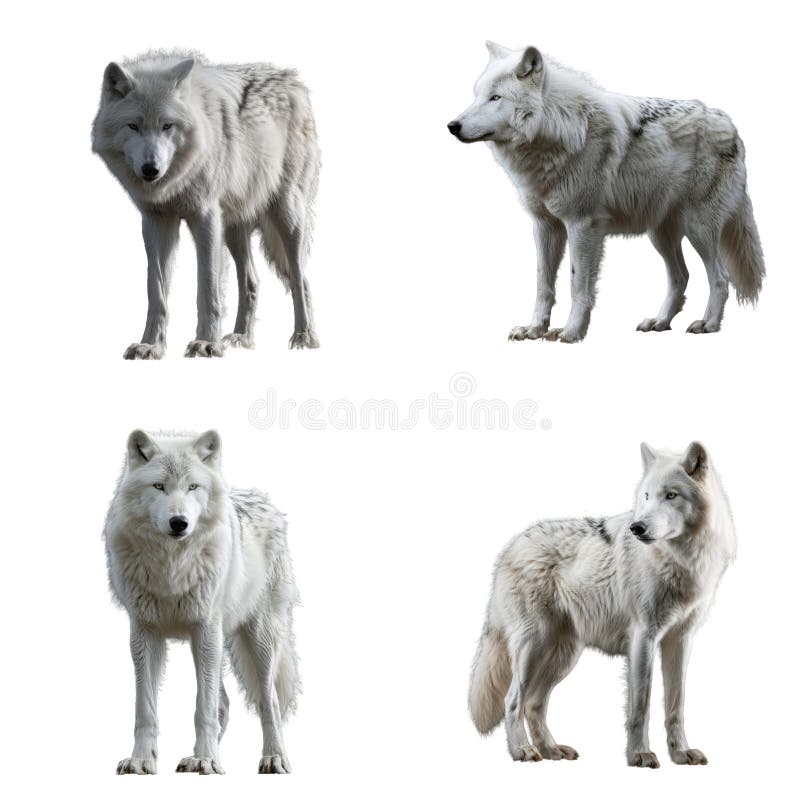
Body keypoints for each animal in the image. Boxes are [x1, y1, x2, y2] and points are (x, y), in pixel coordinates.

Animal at [92, 51, 321, 358]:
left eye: (167, 125)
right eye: (133, 126)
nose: (151, 169)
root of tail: (292, 80)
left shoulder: (205, 217)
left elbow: (208, 287)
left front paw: (206, 343)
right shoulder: (157, 222)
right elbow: (156, 290)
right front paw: (151, 345)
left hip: (287, 215)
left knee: (301, 279)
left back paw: (304, 336)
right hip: (234, 229)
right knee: (252, 281)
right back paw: (240, 337)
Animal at [104, 429, 299, 774]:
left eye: (193, 487)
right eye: (159, 486)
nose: (179, 522)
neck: (171, 564)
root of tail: (261, 499)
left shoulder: (205, 628)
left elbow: (203, 708)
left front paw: (209, 761)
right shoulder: (144, 633)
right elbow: (146, 711)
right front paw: (141, 761)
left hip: (257, 639)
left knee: (269, 701)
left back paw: (273, 758)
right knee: (224, 703)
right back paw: (194, 757)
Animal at [448, 43, 764, 341]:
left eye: (495, 98)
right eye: (477, 95)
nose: (452, 126)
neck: (557, 129)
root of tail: (730, 125)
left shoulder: (582, 225)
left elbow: (577, 284)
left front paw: (571, 332)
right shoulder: (545, 226)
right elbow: (543, 284)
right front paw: (534, 329)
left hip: (697, 228)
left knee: (720, 277)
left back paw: (708, 324)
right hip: (660, 234)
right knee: (681, 277)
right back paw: (660, 322)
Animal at [469, 442, 736, 768]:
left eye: (671, 495)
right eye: (646, 496)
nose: (637, 527)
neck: (680, 558)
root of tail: (510, 548)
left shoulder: (680, 639)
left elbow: (676, 705)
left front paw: (681, 753)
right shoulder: (643, 638)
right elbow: (640, 707)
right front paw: (640, 755)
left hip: (562, 655)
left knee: (533, 704)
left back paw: (551, 750)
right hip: (534, 647)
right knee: (512, 701)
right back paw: (524, 751)